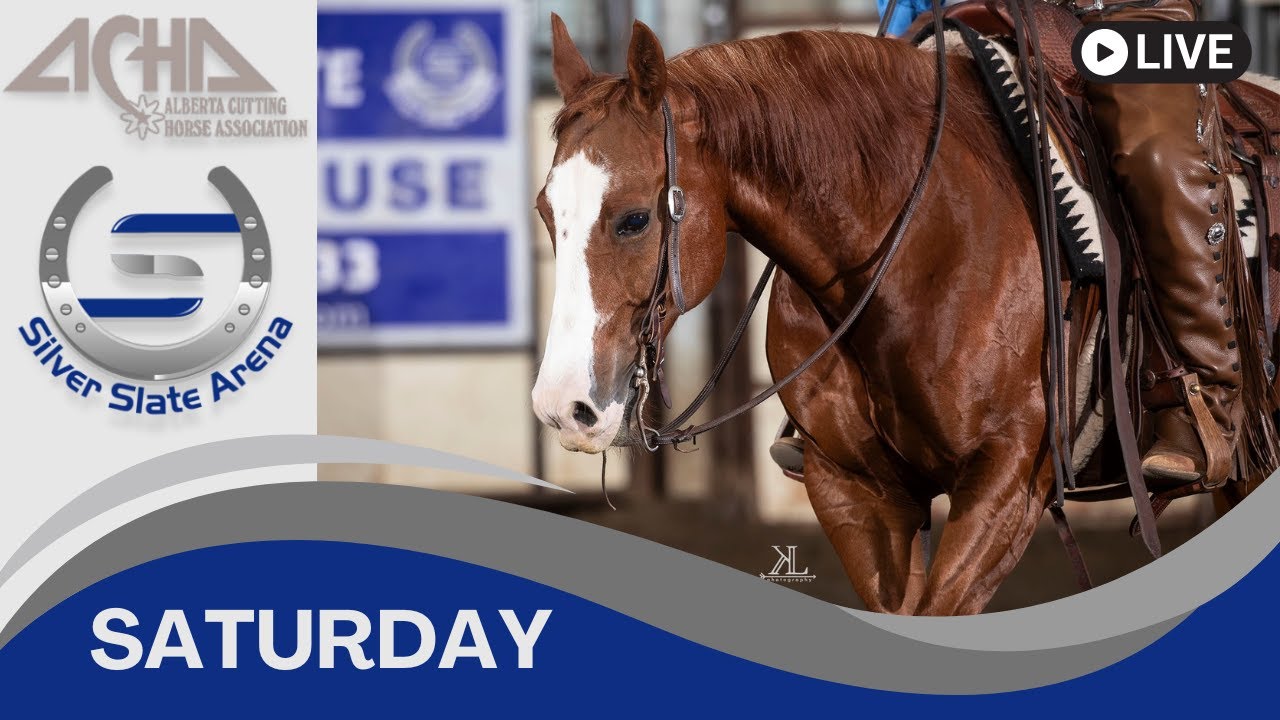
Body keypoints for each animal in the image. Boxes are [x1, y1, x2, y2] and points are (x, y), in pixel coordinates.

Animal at [528, 14, 1261, 615]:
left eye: (634, 218)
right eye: (545, 210)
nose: (561, 408)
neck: (916, 248)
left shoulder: (1006, 482)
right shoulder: (854, 489)